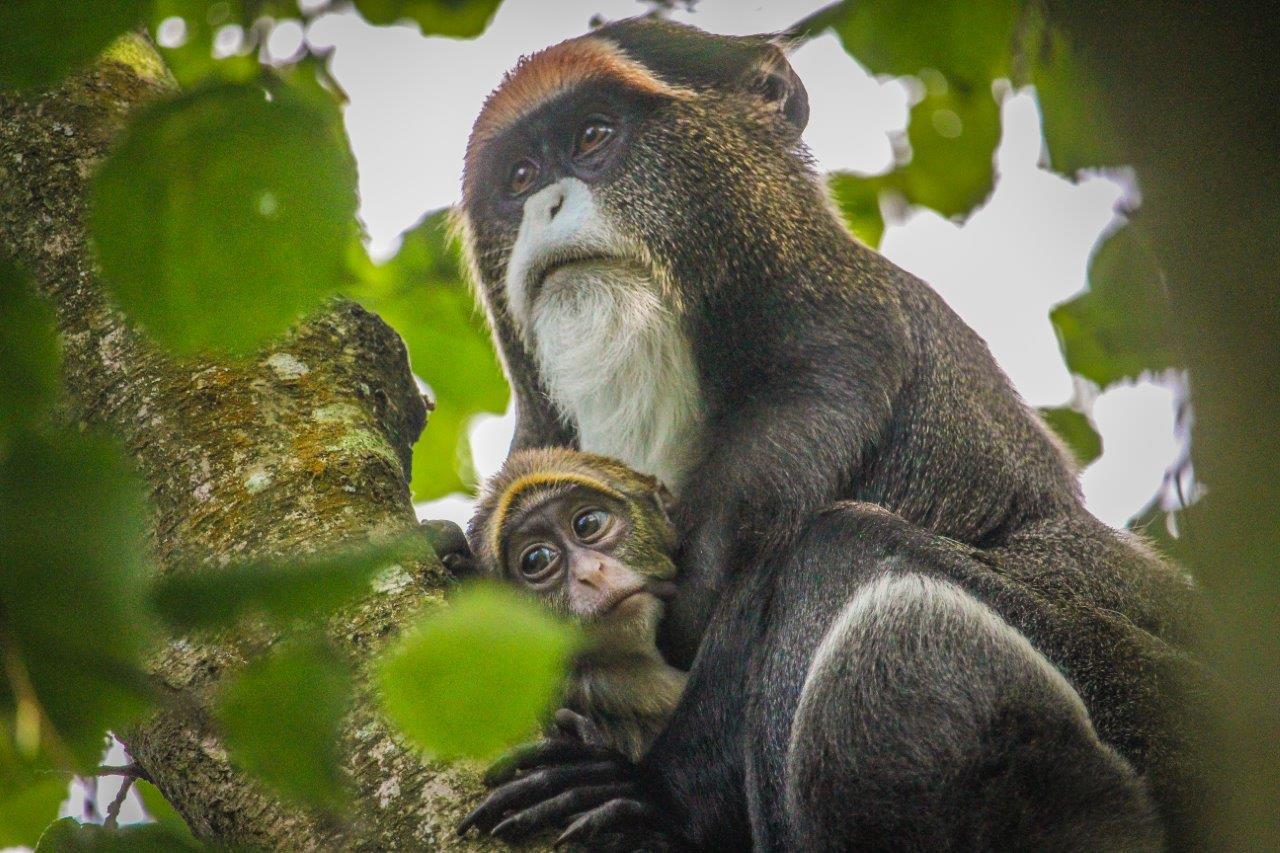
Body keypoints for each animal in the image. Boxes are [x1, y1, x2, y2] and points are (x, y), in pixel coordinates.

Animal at [450, 15, 1212, 851]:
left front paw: (654, 795)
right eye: (520, 176)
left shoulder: (835, 366)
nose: (548, 202)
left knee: (843, 553)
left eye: (593, 135)